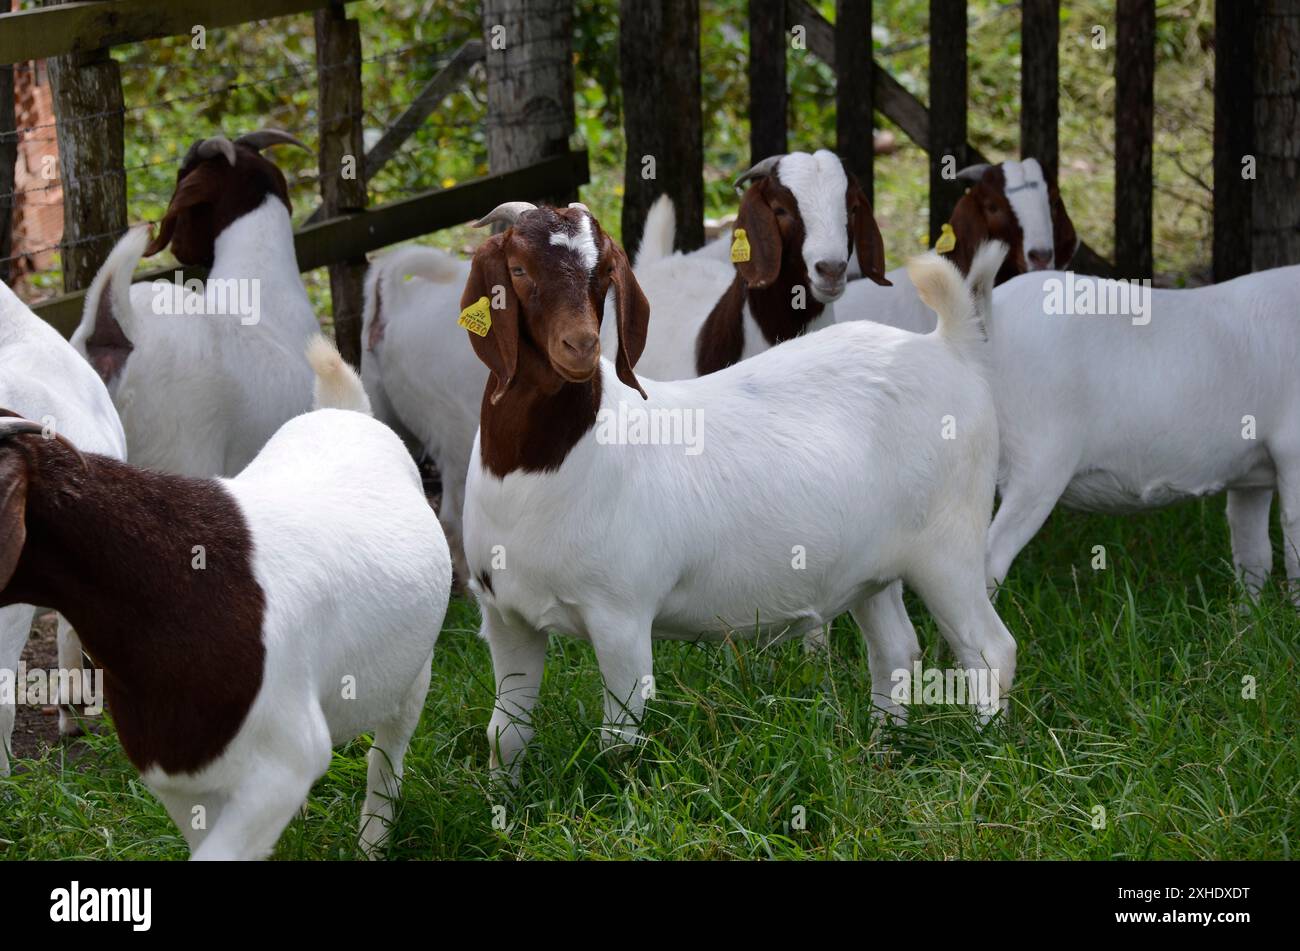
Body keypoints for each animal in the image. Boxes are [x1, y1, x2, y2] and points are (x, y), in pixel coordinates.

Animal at [0, 337, 451, 859]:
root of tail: (345, 411)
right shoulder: (180, 774)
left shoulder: (286, 757)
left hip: (415, 675)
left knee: (388, 753)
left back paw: (371, 843)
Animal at [458, 202, 1016, 778]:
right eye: (519, 270)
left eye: (604, 273)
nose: (582, 346)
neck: (541, 467)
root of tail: (948, 347)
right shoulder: (506, 617)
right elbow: (505, 734)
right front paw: (503, 795)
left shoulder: (621, 618)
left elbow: (619, 744)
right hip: (875, 567)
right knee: (897, 650)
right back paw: (881, 754)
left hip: (949, 545)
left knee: (990, 650)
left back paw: (987, 756)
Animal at [979, 267, 1300, 602]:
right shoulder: (1292, 453)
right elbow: (1293, 548)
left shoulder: (1249, 476)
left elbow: (1253, 555)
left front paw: (1249, 613)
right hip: (1038, 461)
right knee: (989, 560)